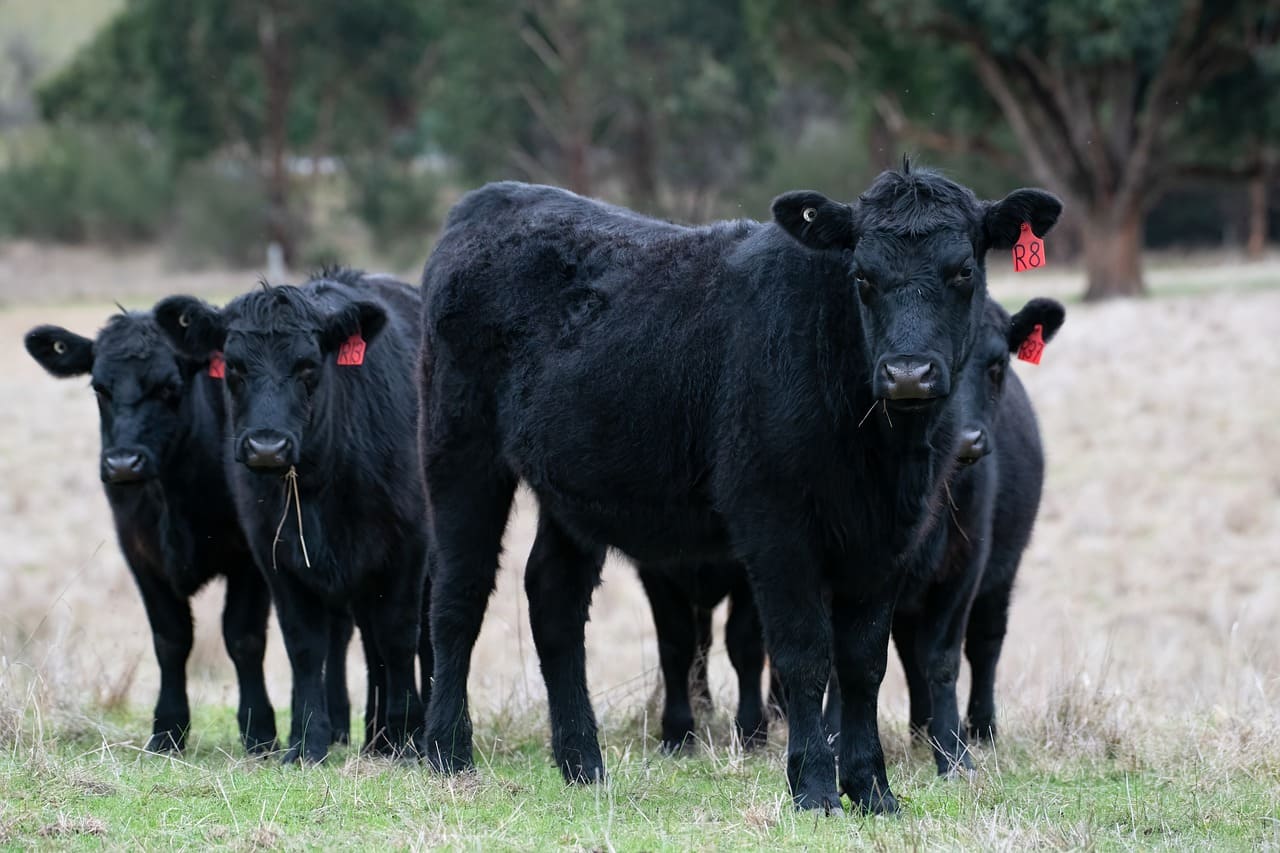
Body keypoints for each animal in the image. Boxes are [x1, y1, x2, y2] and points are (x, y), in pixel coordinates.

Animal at [24, 311, 353, 755]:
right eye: (99, 387)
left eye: (170, 387)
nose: (123, 463)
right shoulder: (141, 555)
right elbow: (171, 639)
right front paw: (167, 728)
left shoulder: (251, 557)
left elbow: (244, 637)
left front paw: (259, 730)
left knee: (336, 634)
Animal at [153, 269, 431, 764]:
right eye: (235, 368)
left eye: (308, 366)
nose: (267, 447)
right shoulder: (275, 555)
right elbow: (304, 645)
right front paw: (306, 742)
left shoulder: (408, 545)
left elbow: (400, 634)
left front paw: (408, 737)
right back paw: (376, 736)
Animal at [821, 296, 1065, 776]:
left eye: (997, 364)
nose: (967, 439)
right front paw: (836, 742)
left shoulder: (964, 569)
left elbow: (944, 660)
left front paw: (954, 755)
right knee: (908, 651)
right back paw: (920, 730)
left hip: (1001, 571)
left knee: (985, 644)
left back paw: (980, 729)